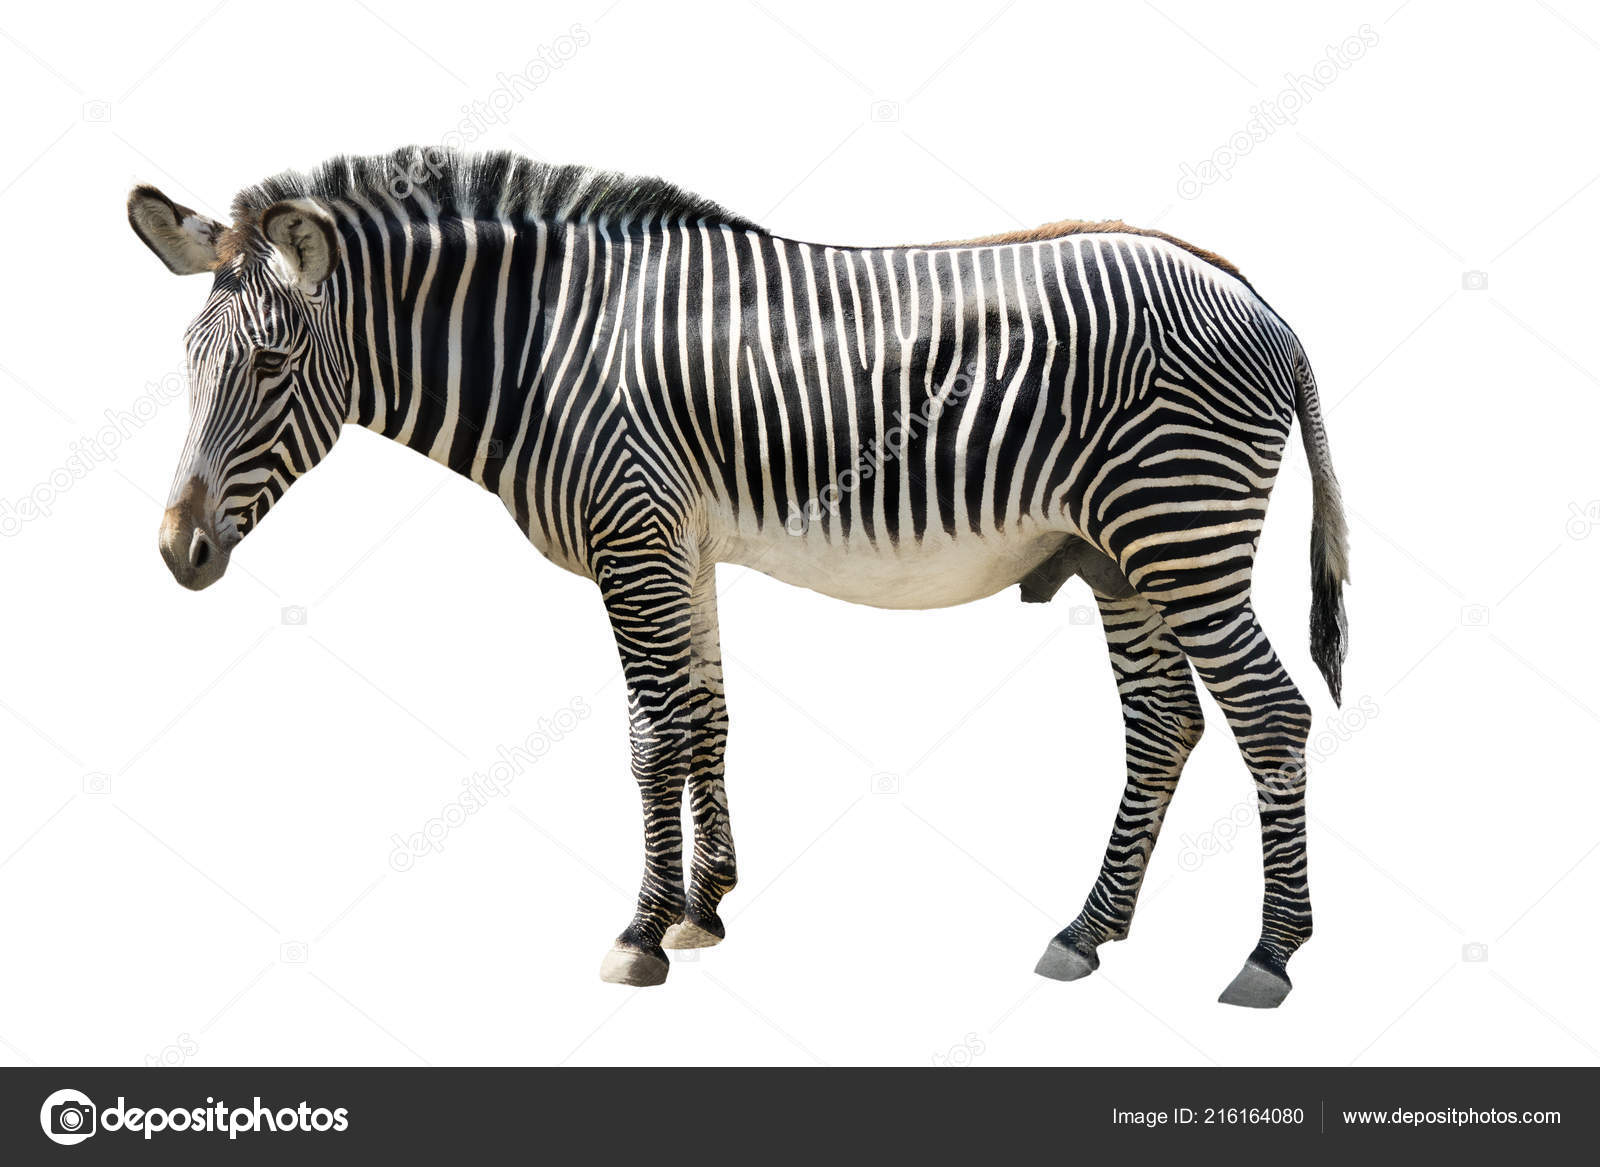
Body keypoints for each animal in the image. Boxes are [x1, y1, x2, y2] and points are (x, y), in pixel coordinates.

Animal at [127, 147, 1347, 1008]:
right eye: (187, 362)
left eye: (272, 365)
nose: (178, 552)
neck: (543, 350)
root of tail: (1262, 302)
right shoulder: (680, 548)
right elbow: (705, 719)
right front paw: (702, 910)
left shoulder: (632, 537)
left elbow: (650, 735)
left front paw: (638, 933)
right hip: (1121, 560)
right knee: (1164, 725)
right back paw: (1087, 932)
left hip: (1178, 532)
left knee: (1270, 717)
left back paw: (1270, 956)